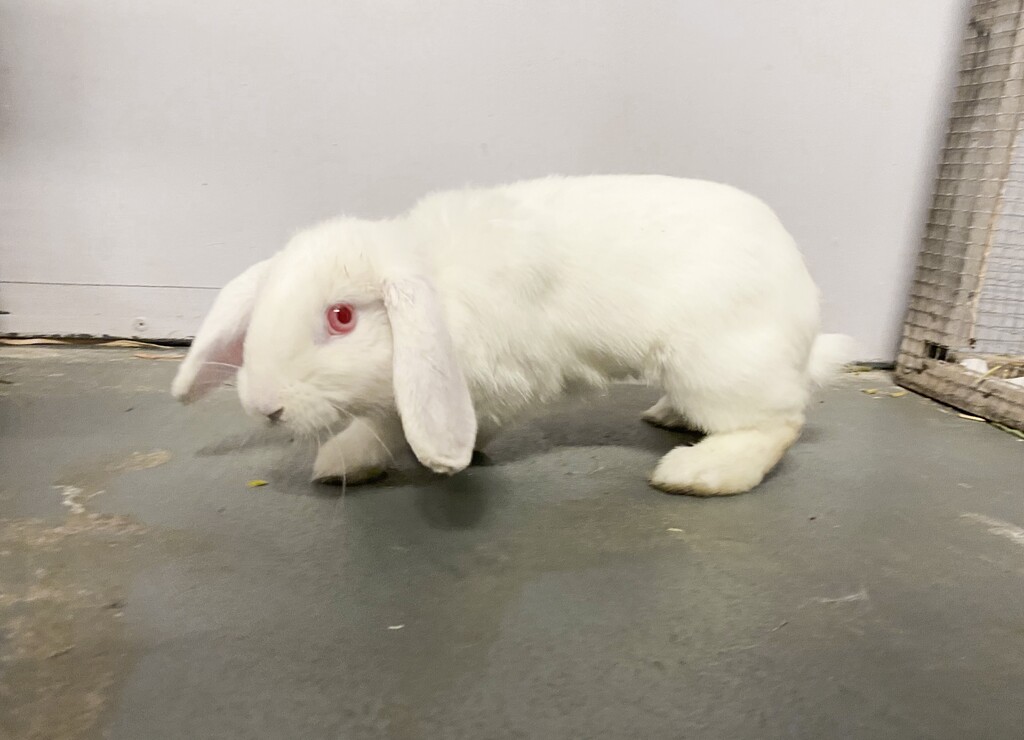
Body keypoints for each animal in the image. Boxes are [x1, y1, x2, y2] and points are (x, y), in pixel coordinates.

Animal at [172, 175, 853, 495]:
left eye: (341, 317)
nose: (264, 407)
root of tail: (804, 318)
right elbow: (384, 422)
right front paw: (346, 457)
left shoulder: (488, 386)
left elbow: (404, 424)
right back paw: (670, 416)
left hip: (717, 363)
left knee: (776, 424)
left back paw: (699, 470)